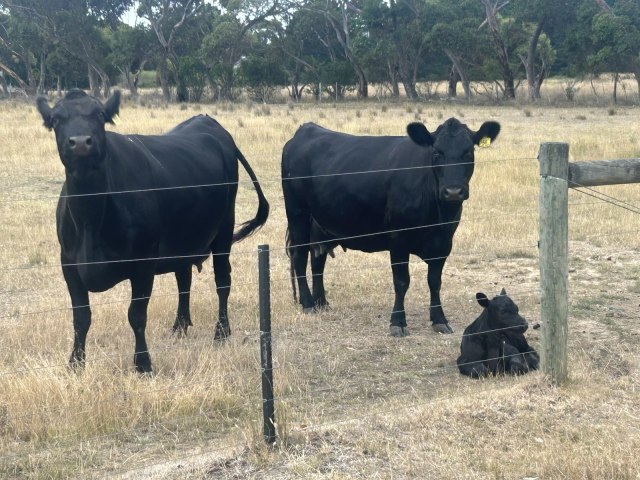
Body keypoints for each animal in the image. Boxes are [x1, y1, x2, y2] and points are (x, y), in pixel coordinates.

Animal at [36, 89, 269, 373]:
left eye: (100, 115)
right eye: (56, 119)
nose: (80, 142)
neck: (91, 220)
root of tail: (209, 122)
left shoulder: (143, 264)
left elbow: (136, 315)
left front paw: (143, 364)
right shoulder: (69, 264)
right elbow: (81, 317)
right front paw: (76, 363)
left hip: (224, 231)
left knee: (223, 281)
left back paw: (221, 332)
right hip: (184, 240)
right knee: (183, 280)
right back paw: (180, 326)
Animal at [282, 118, 500, 337]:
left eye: (468, 152)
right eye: (437, 153)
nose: (453, 191)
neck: (437, 217)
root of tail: (307, 129)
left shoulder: (444, 242)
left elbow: (435, 281)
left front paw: (439, 319)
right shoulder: (398, 239)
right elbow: (402, 281)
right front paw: (398, 322)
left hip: (321, 224)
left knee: (318, 259)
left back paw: (322, 303)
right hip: (298, 214)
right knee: (300, 256)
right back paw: (308, 304)